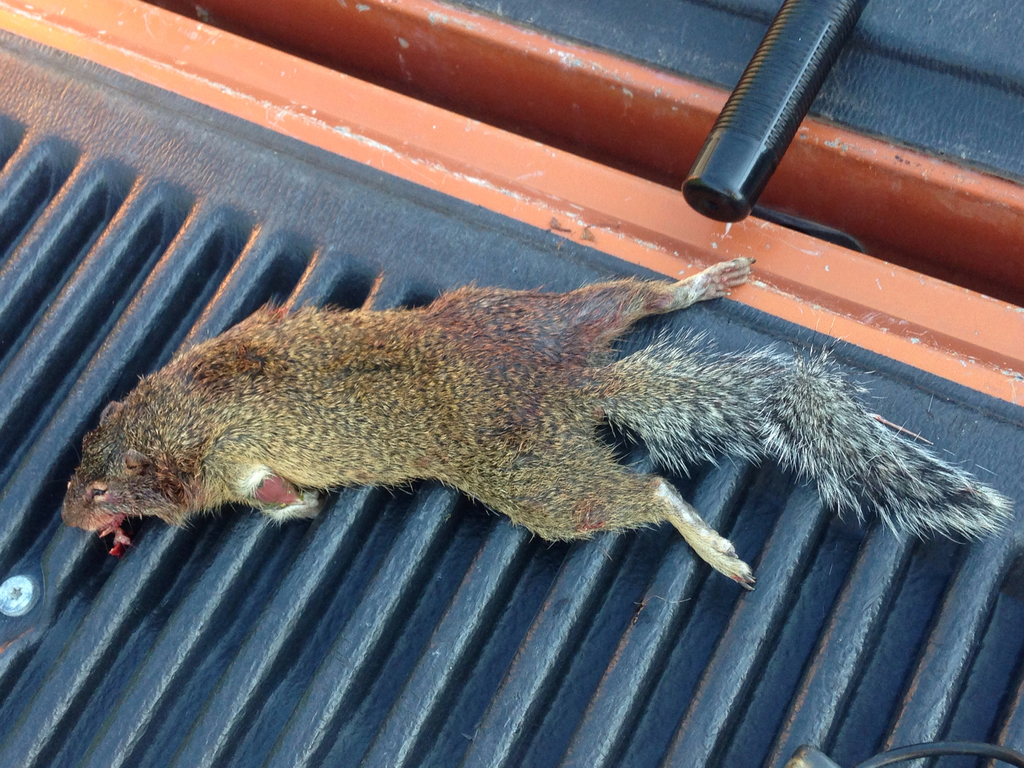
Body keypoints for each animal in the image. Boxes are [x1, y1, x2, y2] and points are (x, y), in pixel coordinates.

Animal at [62, 257, 1013, 586]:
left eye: (99, 490)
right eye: (78, 460)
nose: (70, 517)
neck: (169, 418)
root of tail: (578, 388)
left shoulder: (231, 457)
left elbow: (269, 494)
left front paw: (299, 508)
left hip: (535, 481)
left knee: (648, 492)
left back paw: (709, 544)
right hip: (542, 316)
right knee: (634, 300)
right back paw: (698, 281)